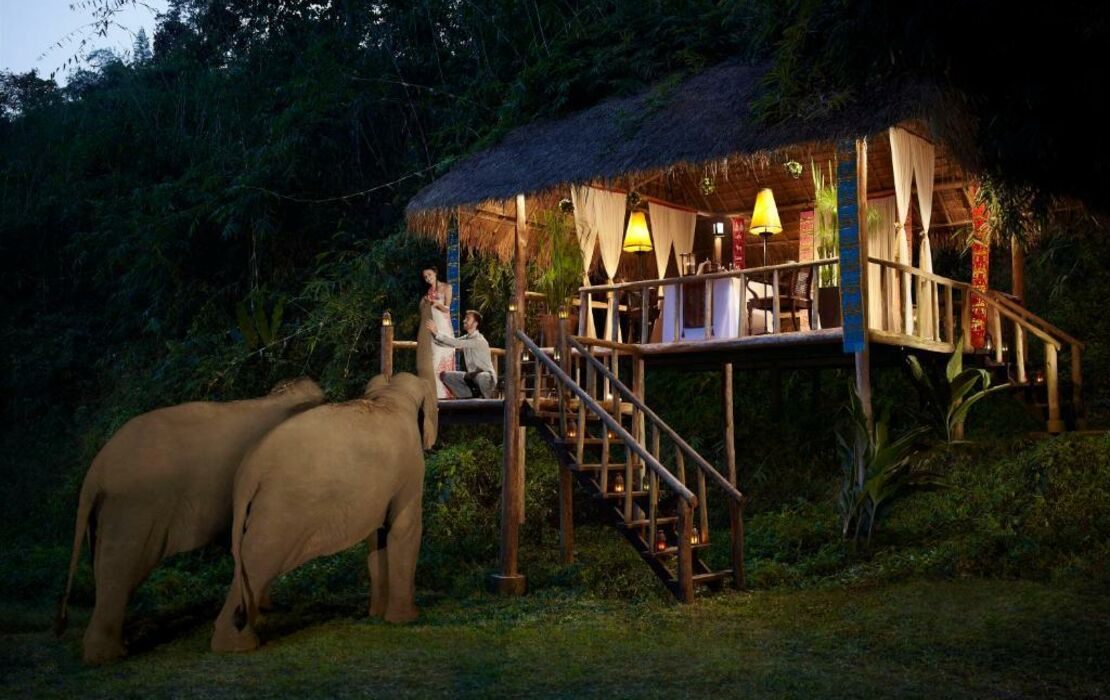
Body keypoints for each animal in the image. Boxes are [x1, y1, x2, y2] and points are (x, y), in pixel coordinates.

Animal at [56, 377, 326, 664]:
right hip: (133, 510)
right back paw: (110, 655)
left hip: (105, 516)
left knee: (104, 568)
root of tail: (94, 474)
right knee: (121, 569)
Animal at [210, 371, 437, 653]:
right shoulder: (410, 470)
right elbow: (404, 530)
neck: (388, 397)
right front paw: (406, 620)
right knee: (258, 560)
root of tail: (248, 475)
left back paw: (232, 643)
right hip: (279, 511)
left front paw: (376, 615)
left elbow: (377, 538)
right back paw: (238, 645)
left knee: (246, 562)